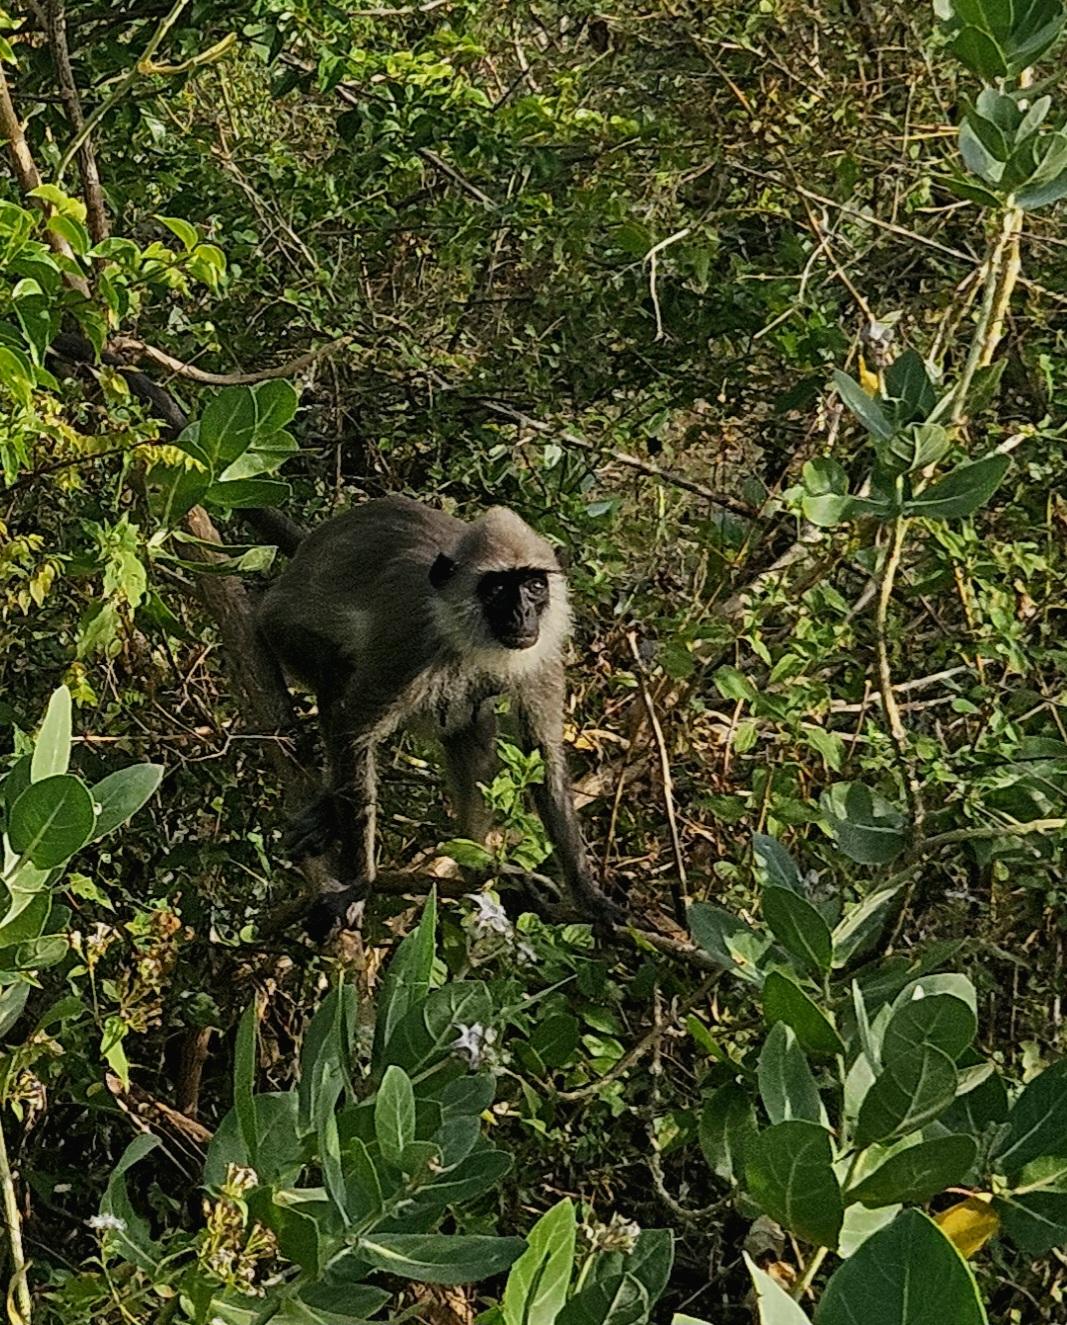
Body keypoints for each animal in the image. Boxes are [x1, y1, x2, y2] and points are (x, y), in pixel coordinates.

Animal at [255, 492, 625, 938]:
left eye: (534, 586)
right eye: (497, 589)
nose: (522, 615)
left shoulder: (542, 651)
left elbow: (544, 754)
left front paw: (590, 897)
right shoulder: (413, 642)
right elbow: (354, 732)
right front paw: (359, 881)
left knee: (472, 725)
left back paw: (478, 870)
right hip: (283, 632)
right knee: (337, 683)